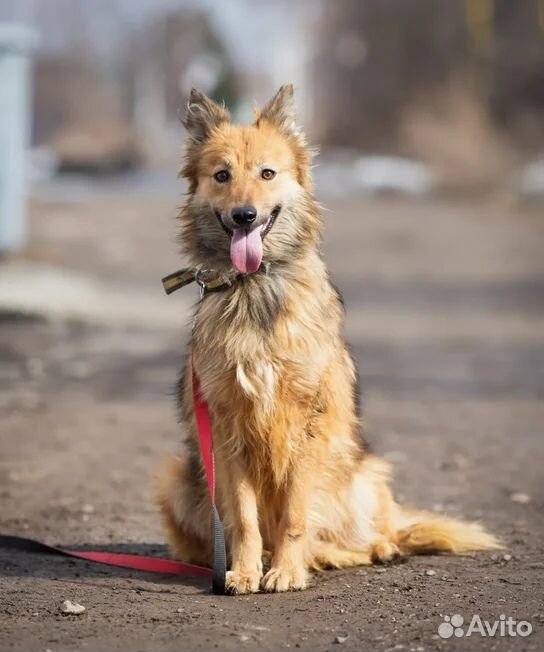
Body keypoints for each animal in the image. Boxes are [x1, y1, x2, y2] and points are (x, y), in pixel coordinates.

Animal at [155, 85, 499, 594]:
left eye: (267, 173)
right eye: (221, 175)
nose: (244, 215)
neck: (255, 287)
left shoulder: (307, 424)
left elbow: (296, 513)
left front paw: (287, 570)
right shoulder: (226, 428)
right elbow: (244, 518)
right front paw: (245, 570)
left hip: (363, 475)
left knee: (373, 533)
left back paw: (369, 549)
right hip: (178, 480)